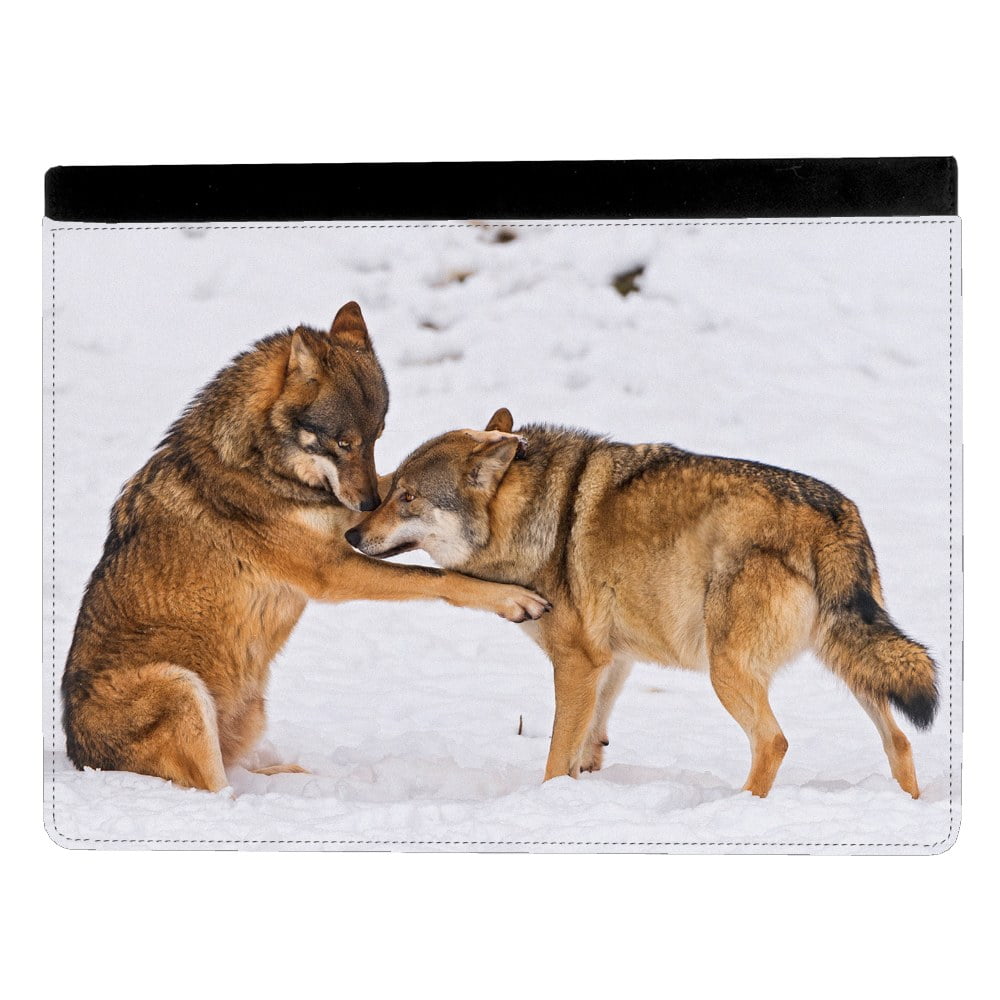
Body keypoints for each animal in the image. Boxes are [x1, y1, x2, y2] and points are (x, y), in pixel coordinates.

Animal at [61, 307, 550, 792]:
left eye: (376, 437)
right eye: (343, 443)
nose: (368, 504)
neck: (259, 464)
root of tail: (79, 757)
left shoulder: (344, 519)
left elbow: (396, 483)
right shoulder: (331, 570)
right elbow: (436, 577)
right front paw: (512, 598)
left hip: (250, 710)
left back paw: (285, 775)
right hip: (181, 687)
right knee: (218, 790)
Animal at [346, 407, 938, 798]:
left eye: (407, 498)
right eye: (389, 487)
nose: (351, 534)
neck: (535, 519)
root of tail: (836, 517)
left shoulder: (577, 664)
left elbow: (556, 757)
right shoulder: (612, 661)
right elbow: (588, 745)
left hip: (728, 670)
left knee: (774, 742)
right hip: (851, 664)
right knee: (900, 741)